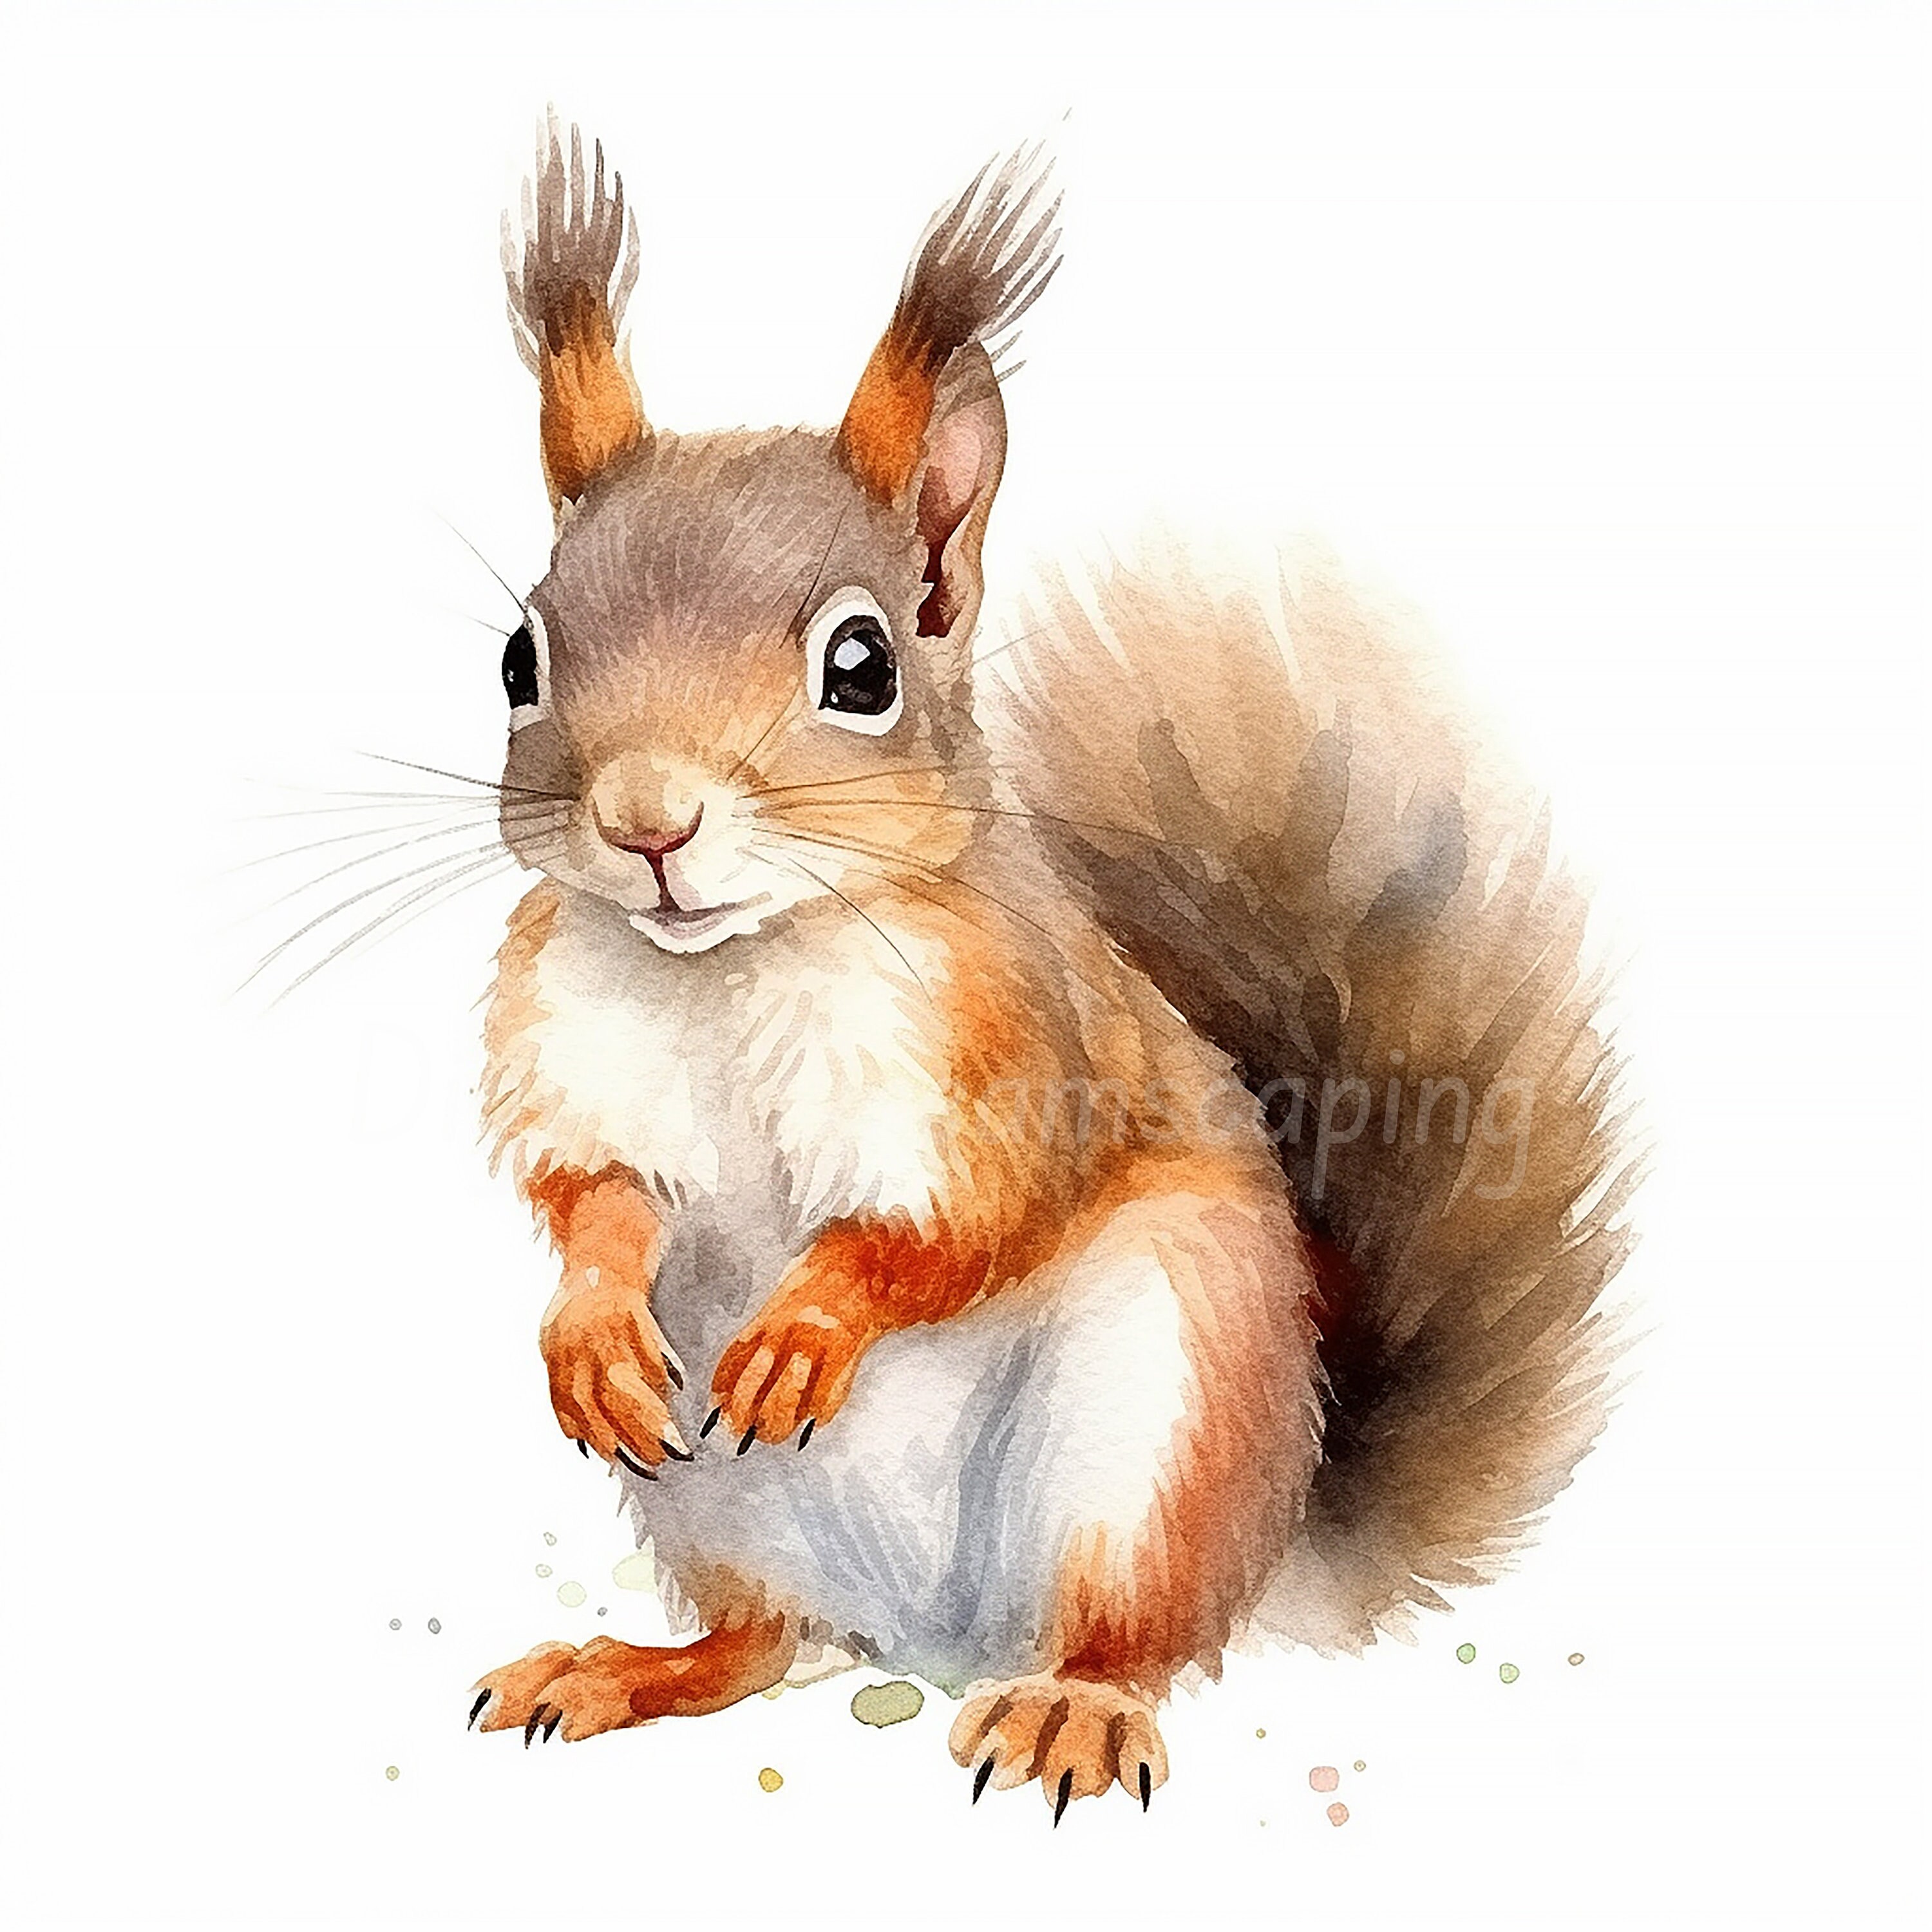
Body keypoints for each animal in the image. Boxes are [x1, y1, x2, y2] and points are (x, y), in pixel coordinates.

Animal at [463, 121, 1633, 1817]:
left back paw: (1071, 1707)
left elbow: (963, 1224)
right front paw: (592, 1330)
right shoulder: (575, 1040)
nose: (647, 822)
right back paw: (623, 1667)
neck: (732, 966)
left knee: (1127, 1632)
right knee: (763, 1643)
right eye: (518, 657)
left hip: (1155, 1412)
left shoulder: (1014, 1047)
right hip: (718, 1518)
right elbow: (593, 1193)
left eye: (861, 666)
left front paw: (811, 1325)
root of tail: (937, 1639)